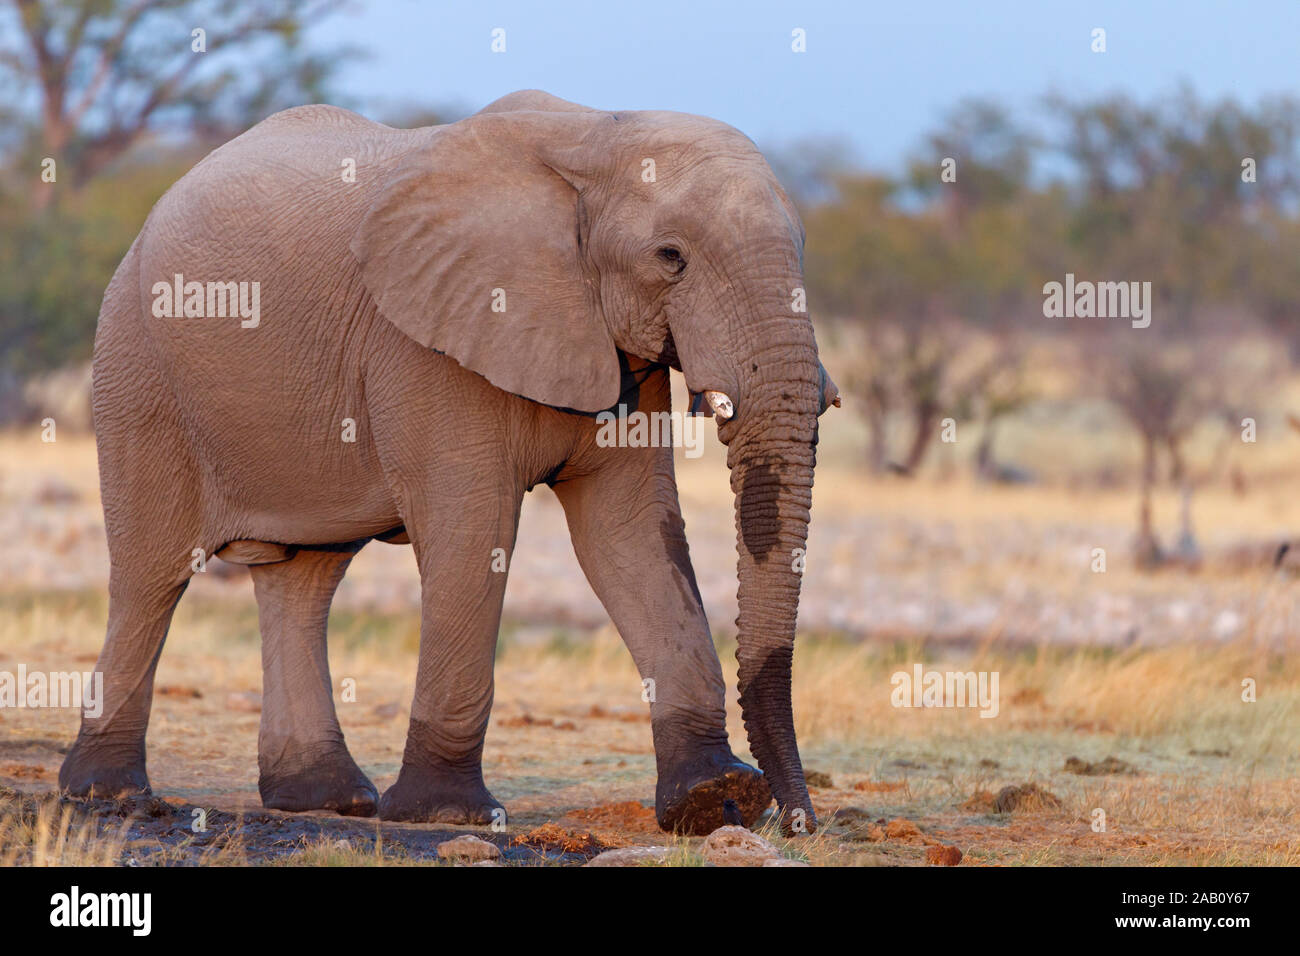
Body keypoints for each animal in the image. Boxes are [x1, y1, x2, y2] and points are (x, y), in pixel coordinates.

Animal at [58, 89, 839, 836]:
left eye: (805, 248)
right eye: (670, 257)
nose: (798, 821)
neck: (593, 134)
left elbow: (632, 538)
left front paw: (712, 798)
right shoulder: (427, 342)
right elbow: (473, 533)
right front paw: (446, 814)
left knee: (304, 579)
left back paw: (326, 799)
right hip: (136, 367)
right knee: (152, 574)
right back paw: (109, 794)